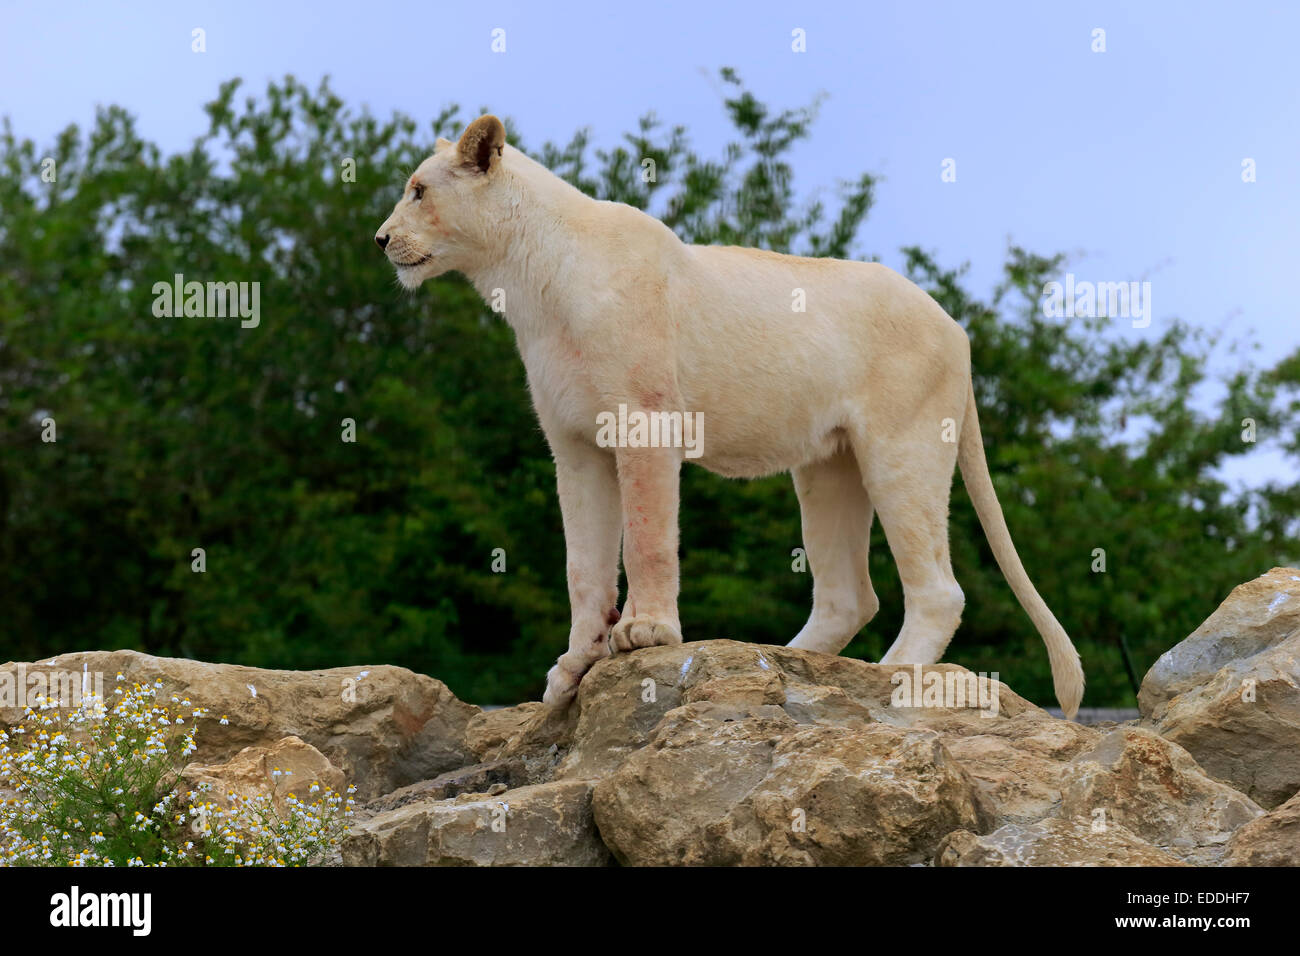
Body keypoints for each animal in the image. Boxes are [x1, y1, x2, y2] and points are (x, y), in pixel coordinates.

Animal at [375, 115, 1085, 718]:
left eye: (418, 191)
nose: (380, 240)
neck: (525, 278)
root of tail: (957, 329)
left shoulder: (645, 422)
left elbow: (649, 536)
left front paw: (645, 632)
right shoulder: (575, 446)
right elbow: (584, 564)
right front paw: (574, 666)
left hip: (901, 446)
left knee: (937, 589)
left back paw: (887, 678)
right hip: (830, 466)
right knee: (849, 595)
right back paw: (787, 665)